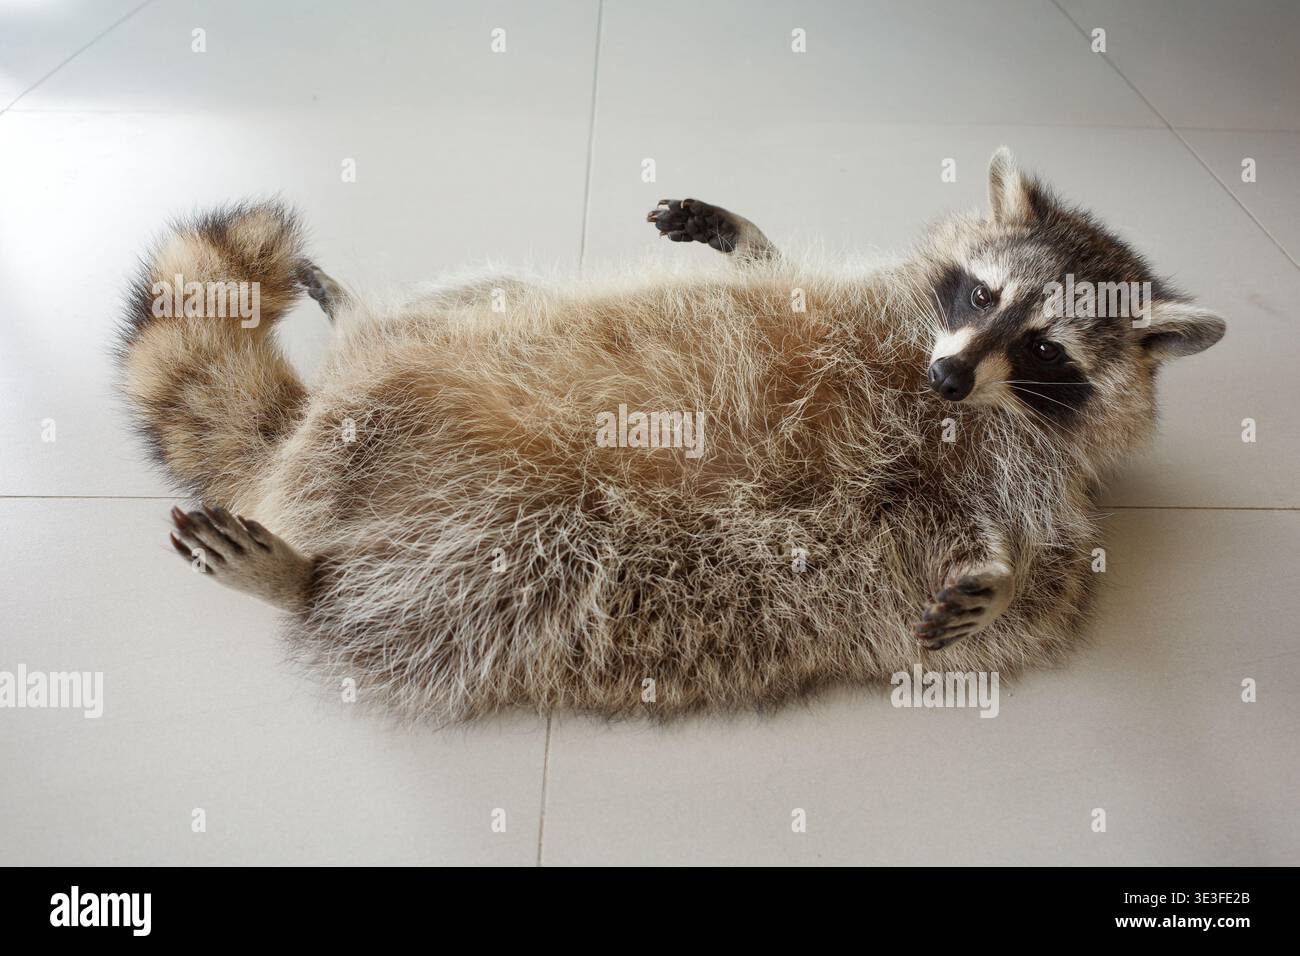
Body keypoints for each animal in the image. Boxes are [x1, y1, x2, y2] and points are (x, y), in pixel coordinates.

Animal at [118, 148, 1224, 721]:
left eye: (1043, 347)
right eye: (982, 292)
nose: (948, 375)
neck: (946, 401)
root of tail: (302, 442)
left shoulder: (1036, 480)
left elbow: (1029, 555)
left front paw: (997, 564)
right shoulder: (873, 305)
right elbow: (778, 276)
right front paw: (742, 234)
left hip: (514, 555)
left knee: (441, 603)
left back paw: (302, 580)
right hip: (452, 341)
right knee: (470, 299)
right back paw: (354, 334)